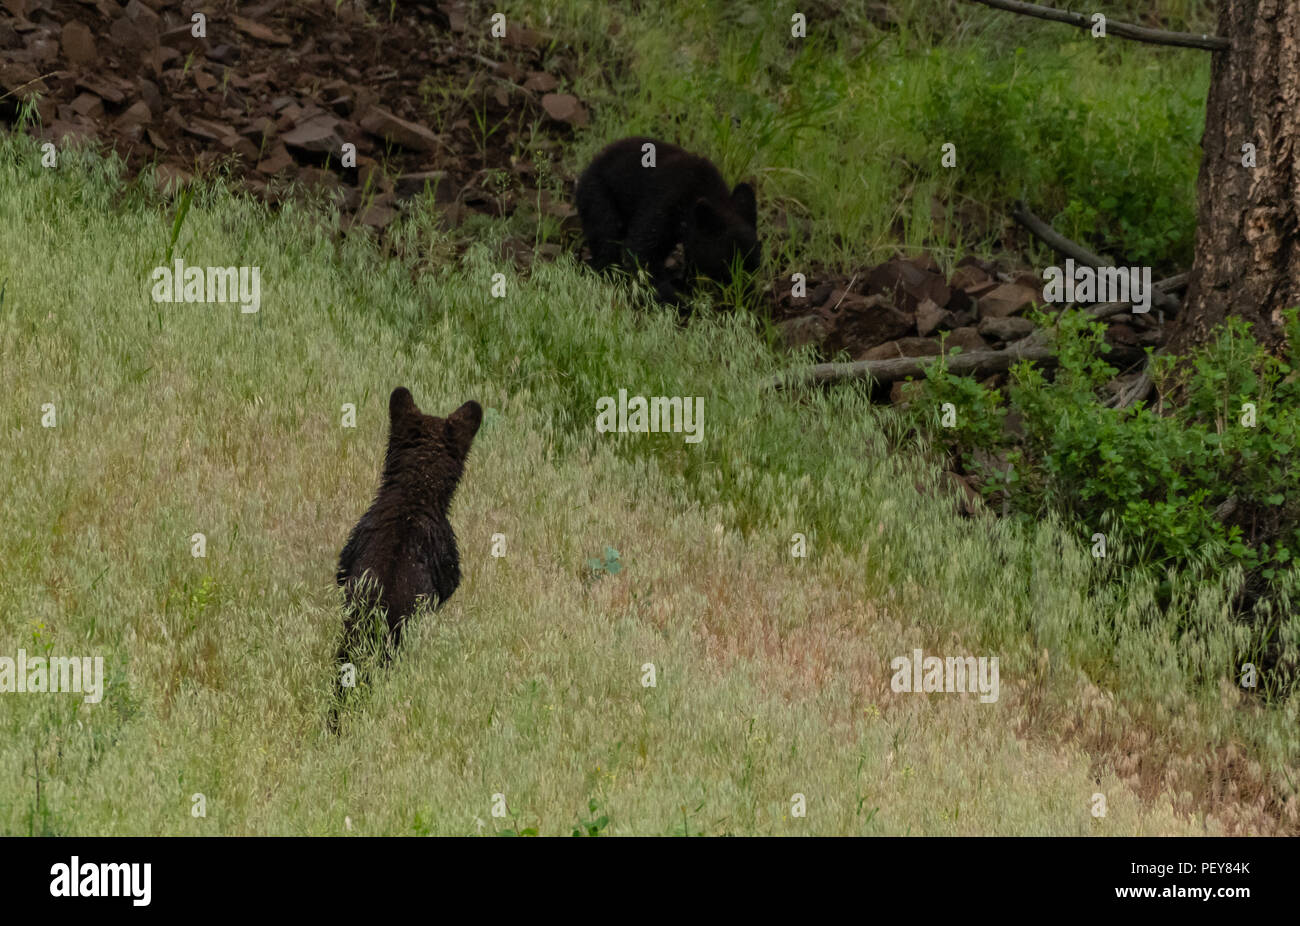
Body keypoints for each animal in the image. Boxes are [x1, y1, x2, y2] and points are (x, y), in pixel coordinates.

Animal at [575, 136, 760, 303]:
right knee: (607, 239)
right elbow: (641, 253)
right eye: (730, 268)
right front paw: (678, 300)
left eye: (755, 267)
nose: (747, 297)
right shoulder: (664, 204)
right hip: (598, 196)